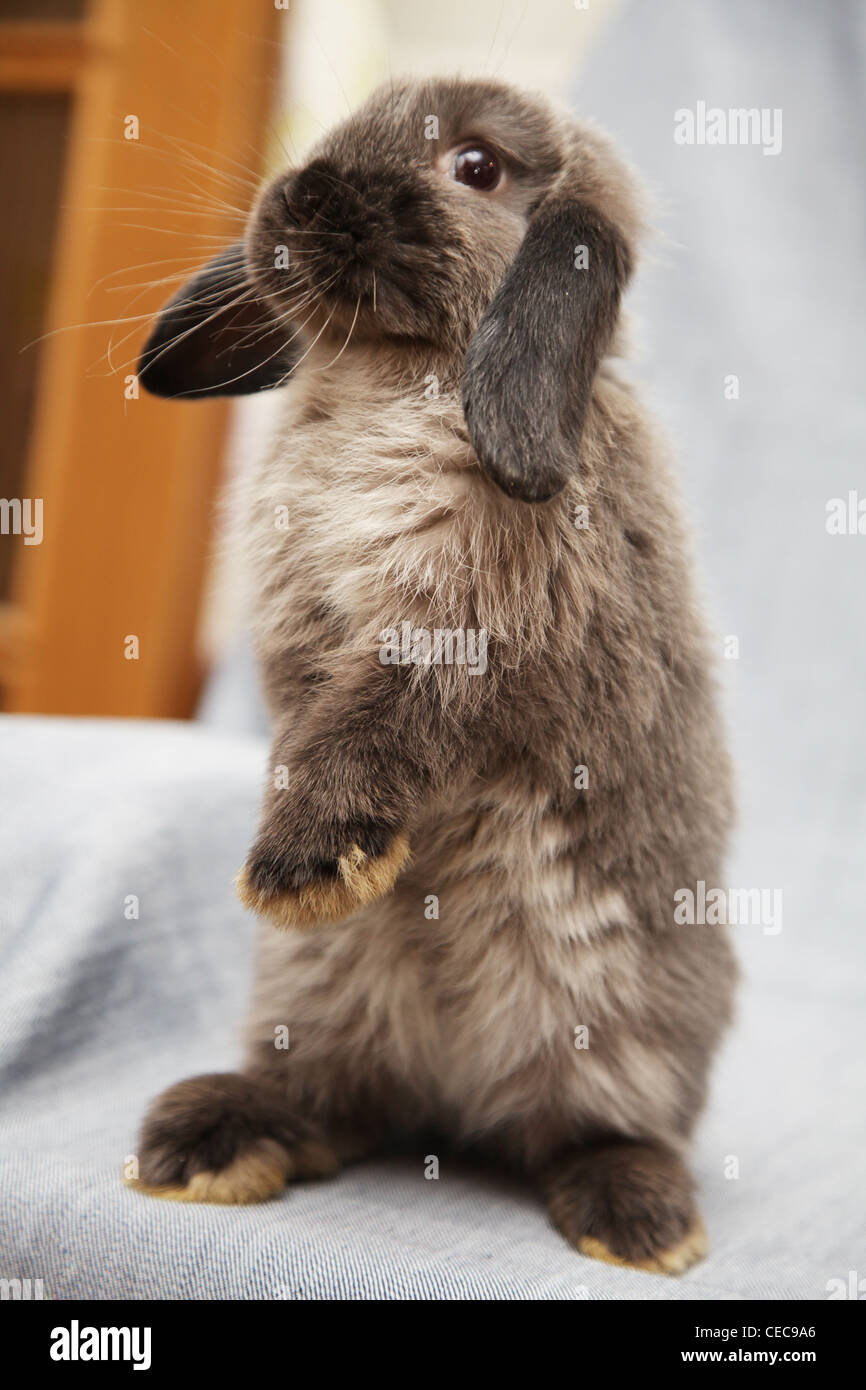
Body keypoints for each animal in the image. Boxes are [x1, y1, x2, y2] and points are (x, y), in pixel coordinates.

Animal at [131, 76, 736, 1276]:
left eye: (476, 167)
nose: (300, 197)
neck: (388, 375)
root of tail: (460, 1103)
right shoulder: (306, 634)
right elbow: (305, 726)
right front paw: (314, 865)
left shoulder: (460, 643)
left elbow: (367, 734)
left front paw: (301, 869)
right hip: (316, 995)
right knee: (333, 1103)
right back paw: (210, 1139)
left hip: (616, 1021)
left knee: (596, 1128)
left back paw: (637, 1219)